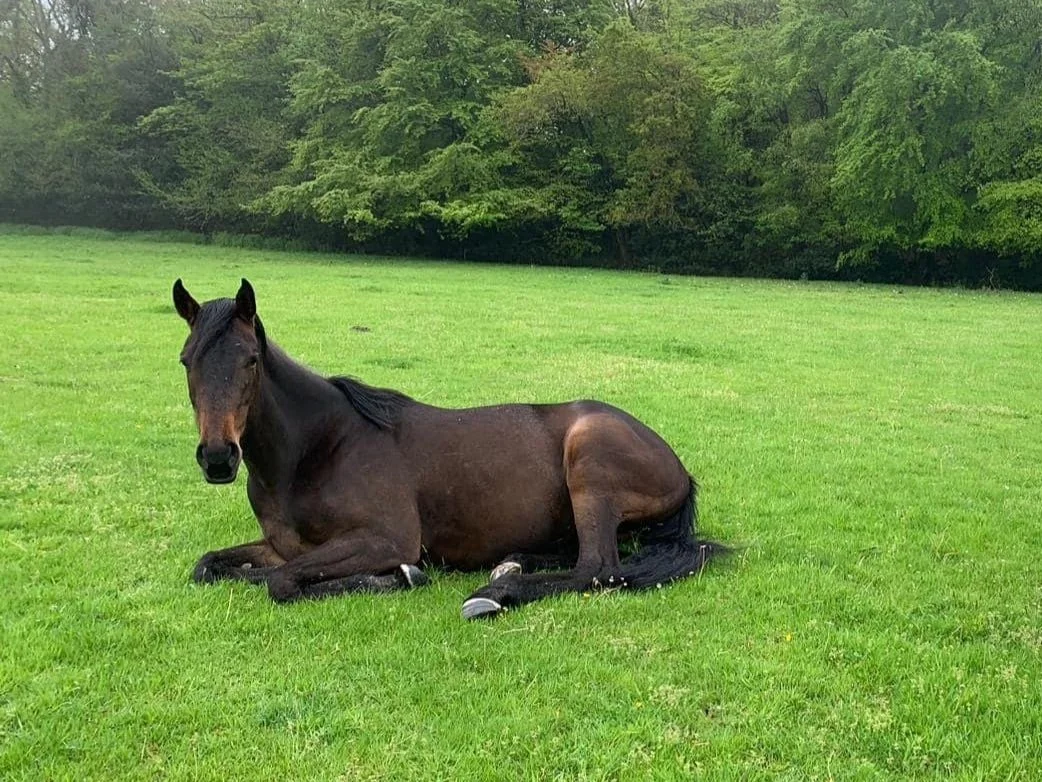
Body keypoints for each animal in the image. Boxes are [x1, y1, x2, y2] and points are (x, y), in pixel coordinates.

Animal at [172, 278, 724, 619]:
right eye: (186, 360)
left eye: (249, 360)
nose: (218, 458)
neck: (318, 449)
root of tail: (679, 468)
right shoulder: (279, 544)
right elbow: (212, 566)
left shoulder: (387, 539)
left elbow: (283, 581)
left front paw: (400, 577)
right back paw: (510, 563)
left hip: (591, 466)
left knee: (598, 570)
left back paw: (495, 594)